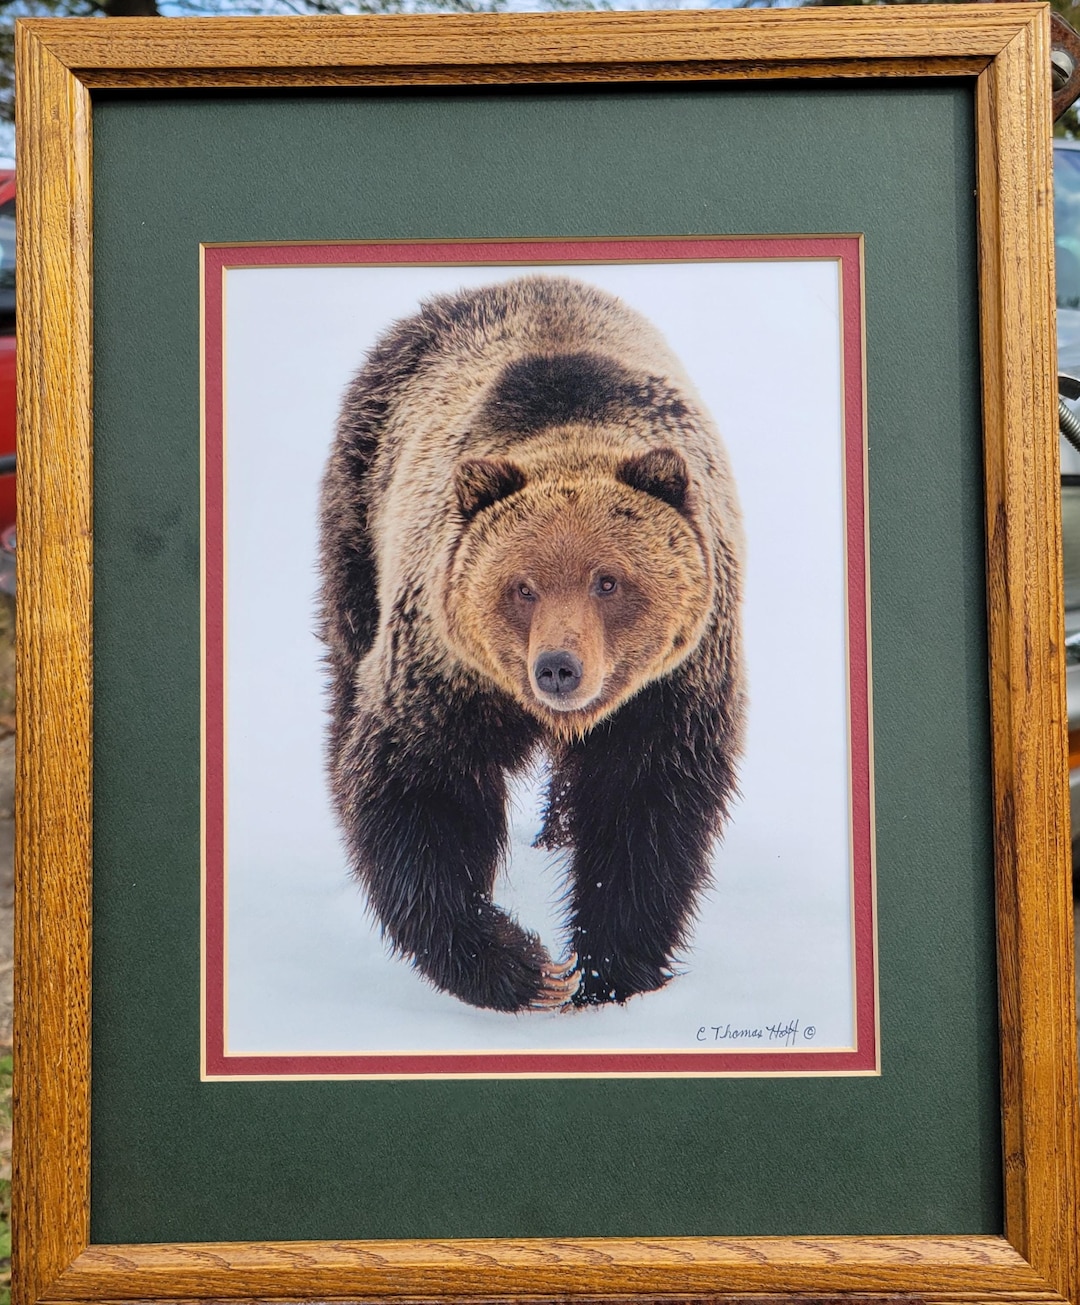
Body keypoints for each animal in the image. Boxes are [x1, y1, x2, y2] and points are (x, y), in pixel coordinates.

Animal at [319, 274, 746, 1012]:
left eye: (609, 579)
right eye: (522, 586)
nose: (558, 668)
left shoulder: (669, 690)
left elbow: (646, 814)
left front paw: (605, 969)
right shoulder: (447, 673)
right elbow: (419, 792)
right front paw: (526, 968)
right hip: (362, 517)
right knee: (347, 678)